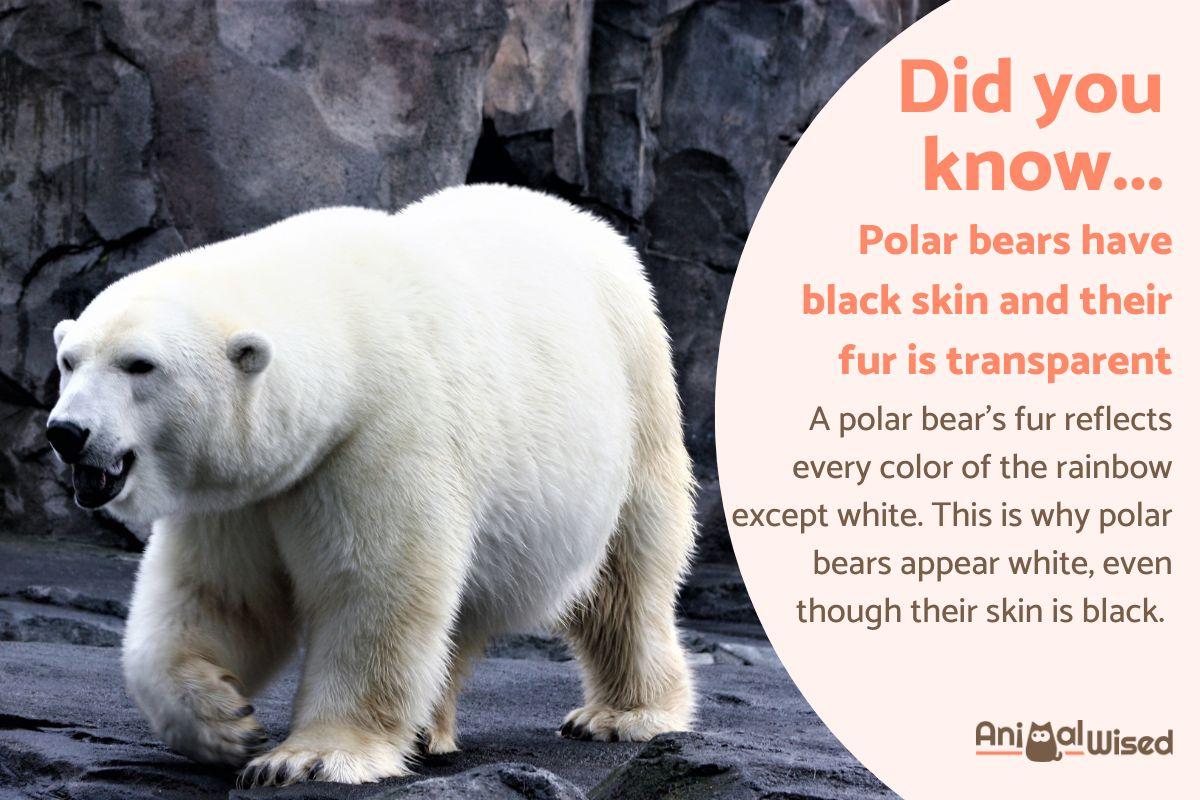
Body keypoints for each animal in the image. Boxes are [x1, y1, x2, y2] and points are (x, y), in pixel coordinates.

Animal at [45, 184, 697, 786]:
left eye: (139, 365)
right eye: (70, 360)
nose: (67, 432)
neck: (344, 334)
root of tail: (583, 219)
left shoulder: (379, 434)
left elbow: (373, 587)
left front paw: (306, 758)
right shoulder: (242, 492)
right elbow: (220, 594)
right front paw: (225, 720)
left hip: (635, 399)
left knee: (628, 575)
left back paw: (622, 715)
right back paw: (430, 729)